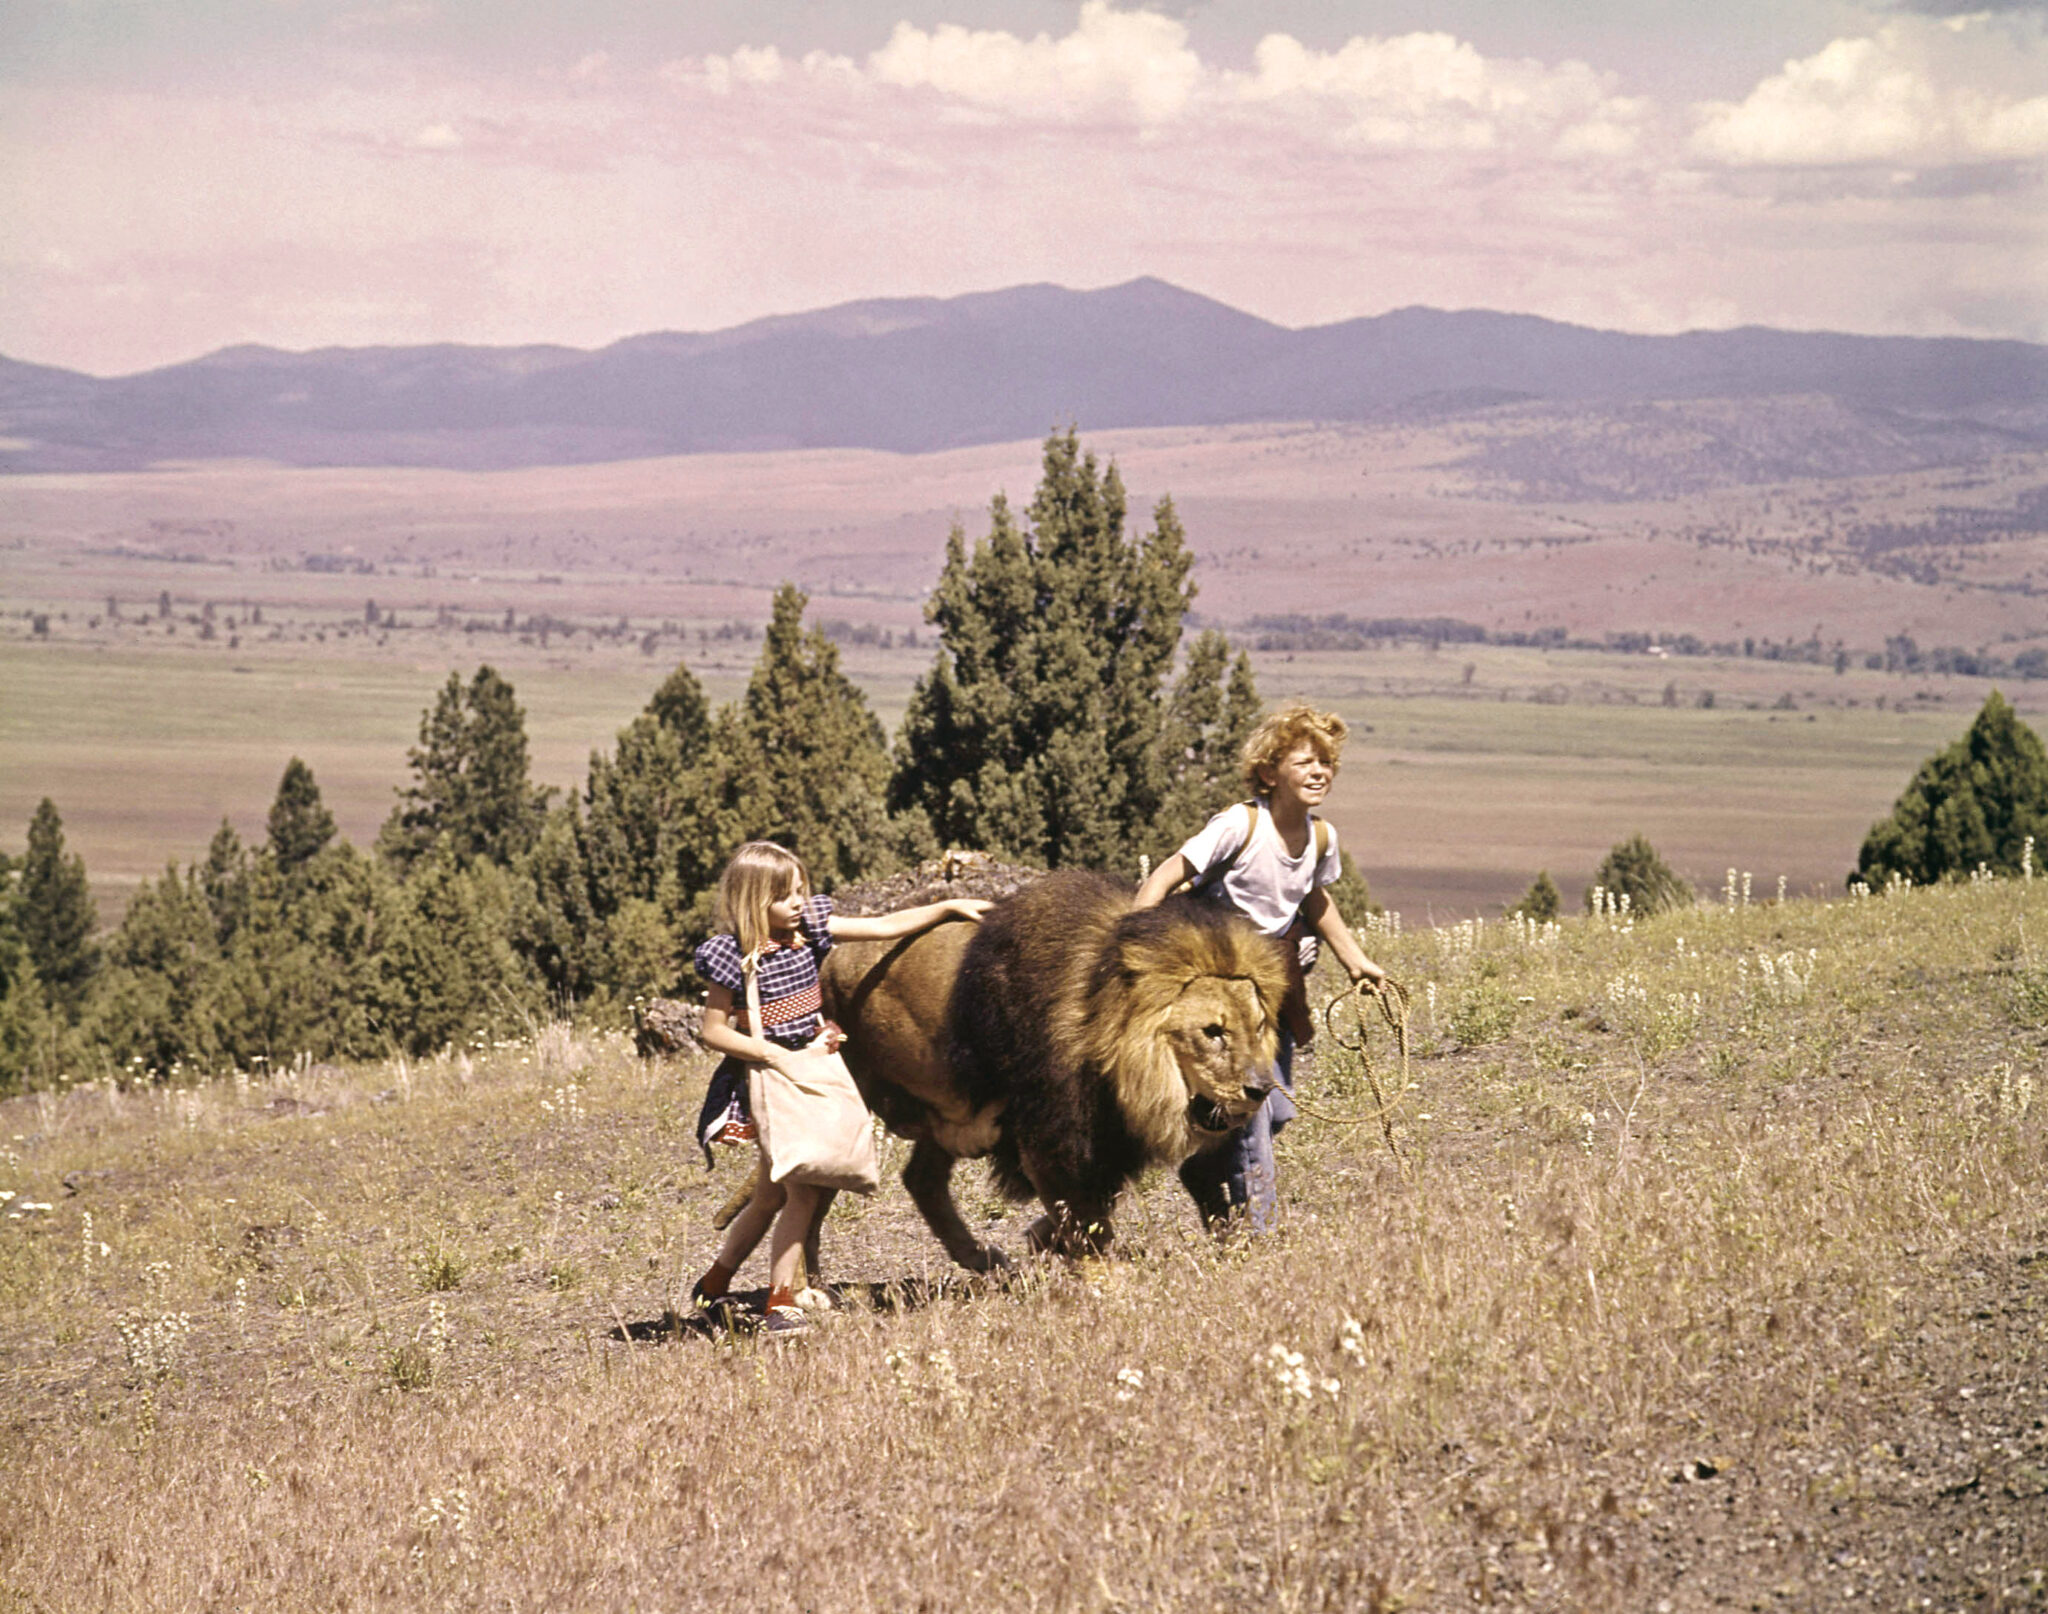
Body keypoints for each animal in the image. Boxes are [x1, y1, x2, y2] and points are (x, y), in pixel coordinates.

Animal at [822, 869, 1292, 1267]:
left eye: (1258, 1025)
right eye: (1212, 1032)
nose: (1260, 1089)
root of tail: (830, 959)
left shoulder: (1106, 1141)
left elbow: (1091, 1211)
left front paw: (1041, 1240)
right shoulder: (1053, 1136)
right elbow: (1086, 1223)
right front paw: (1101, 1283)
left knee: (920, 1179)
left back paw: (980, 1260)